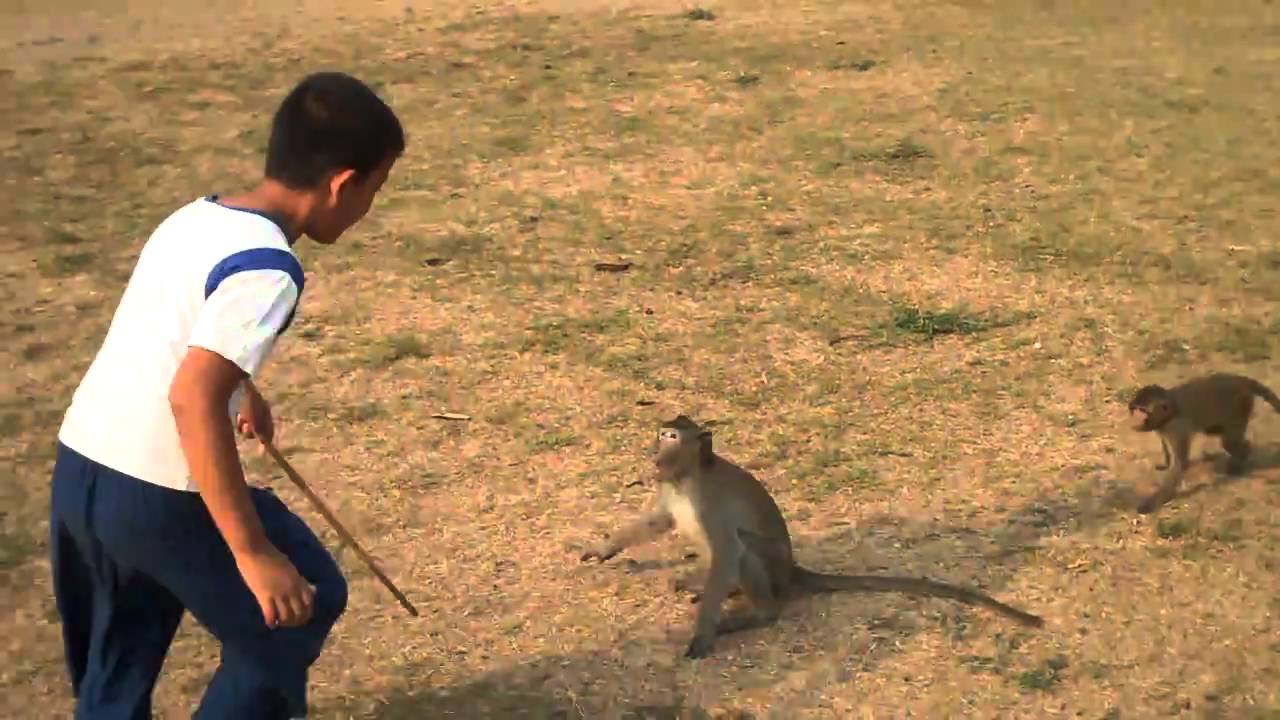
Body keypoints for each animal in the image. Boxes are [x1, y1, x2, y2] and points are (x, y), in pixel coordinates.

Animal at [579, 415, 1044, 660]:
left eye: (672, 437)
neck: (685, 477)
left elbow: (729, 548)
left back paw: (755, 613)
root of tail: (793, 572)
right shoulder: (670, 492)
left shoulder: (709, 502)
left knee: (744, 554)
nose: (654, 453)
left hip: (771, 570)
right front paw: (606, 547)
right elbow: (659, 522)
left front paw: (704, 634)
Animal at [1128, 372, 1280, 514]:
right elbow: (1166, 447)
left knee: (1229, 442)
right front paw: (1165, 463)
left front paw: (1154, 502)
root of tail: (1241, 380)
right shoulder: (1163, 428)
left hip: (1239, 405)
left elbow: (1181, 463)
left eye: (1142, 411)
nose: (1133, 417)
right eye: (1135, 409)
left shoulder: (1176, 427)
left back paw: (1242, 457)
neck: (1170, 411)